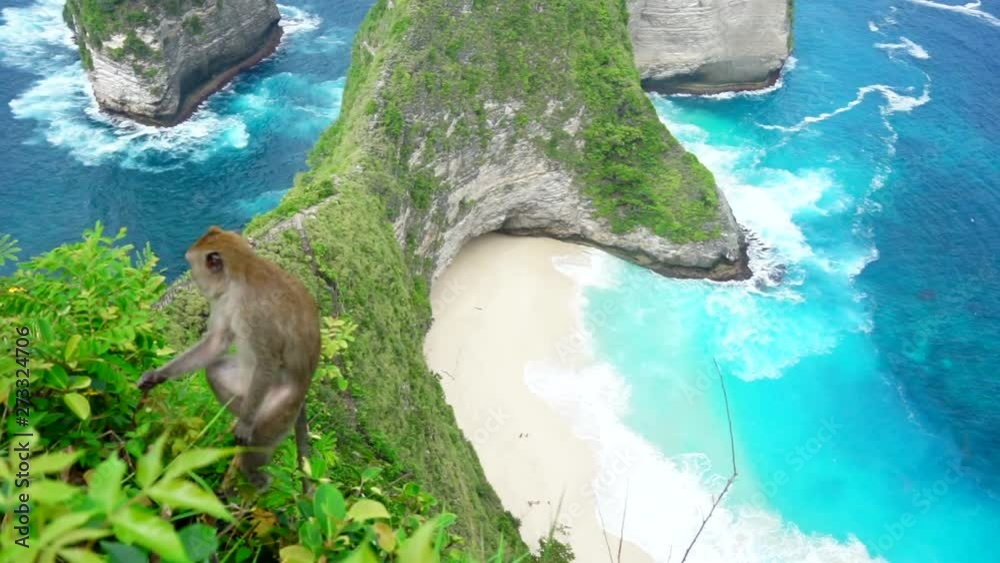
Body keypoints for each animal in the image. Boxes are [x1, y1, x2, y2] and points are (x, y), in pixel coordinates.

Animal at [138, 226, 320, 491]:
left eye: (194, 267)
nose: (196, 281)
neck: (242, 273)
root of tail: (304, 389)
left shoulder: (254, 310)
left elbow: (268, 359)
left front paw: (244, 426)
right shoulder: (226, 301)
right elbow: (216, 344)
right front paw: (157, 375)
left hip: (280, 406)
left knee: (260, 438)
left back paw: (253, 468)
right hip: (248, 387)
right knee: (215, 372)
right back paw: (238, 416)